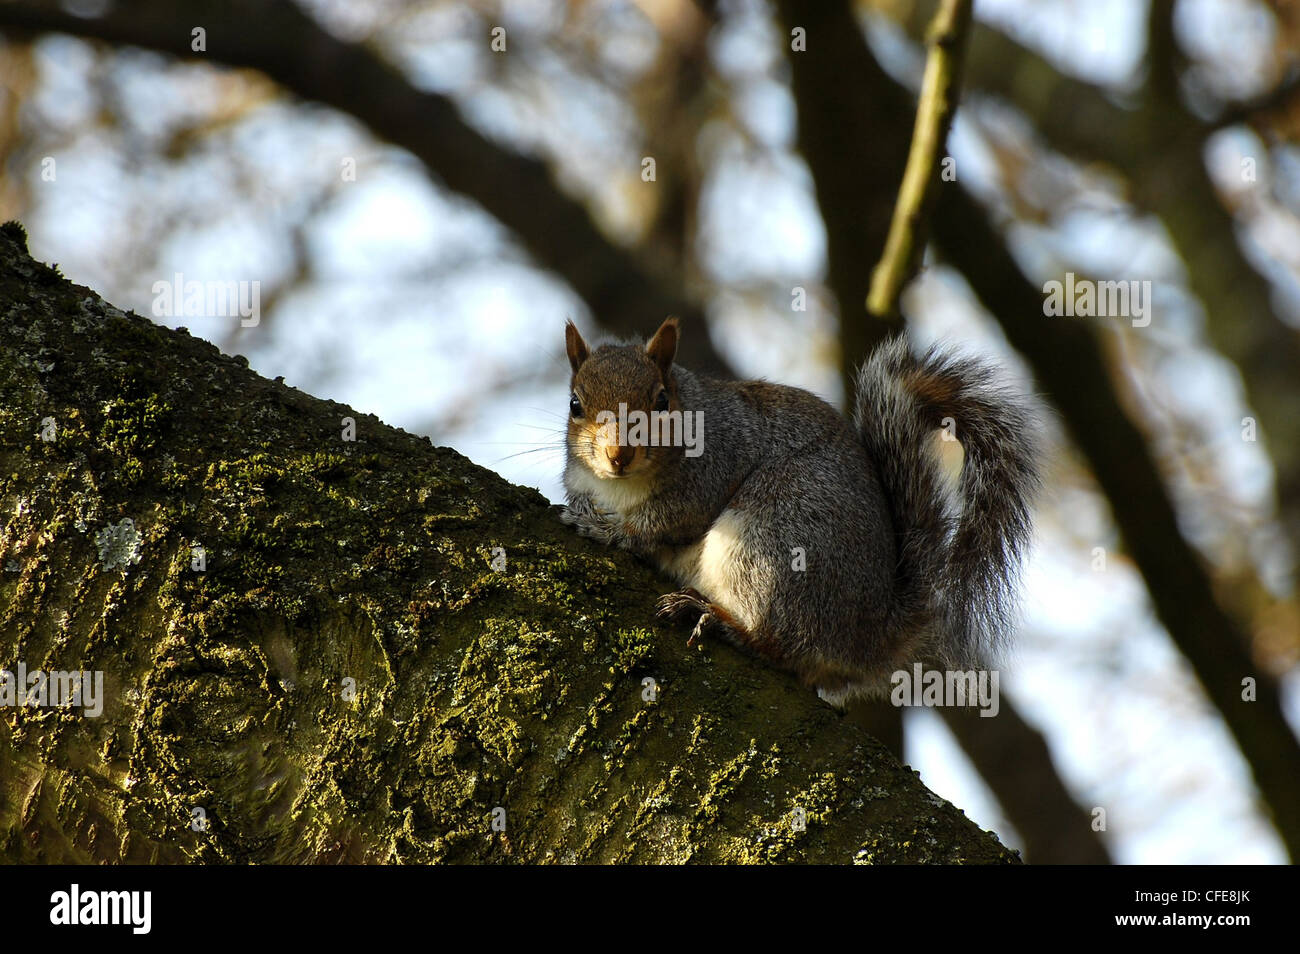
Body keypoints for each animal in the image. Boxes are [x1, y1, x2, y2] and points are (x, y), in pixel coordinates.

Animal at [559, 317, 1039, 706]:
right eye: (575, 405)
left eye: (661, 401)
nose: (618, 455)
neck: (624, 487)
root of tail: (871, 635)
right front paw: (584, 507)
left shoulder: (716, 465)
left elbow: (664, 522)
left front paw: (606, 529)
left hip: (775, 537)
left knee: (780, 643)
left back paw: (715, 619)